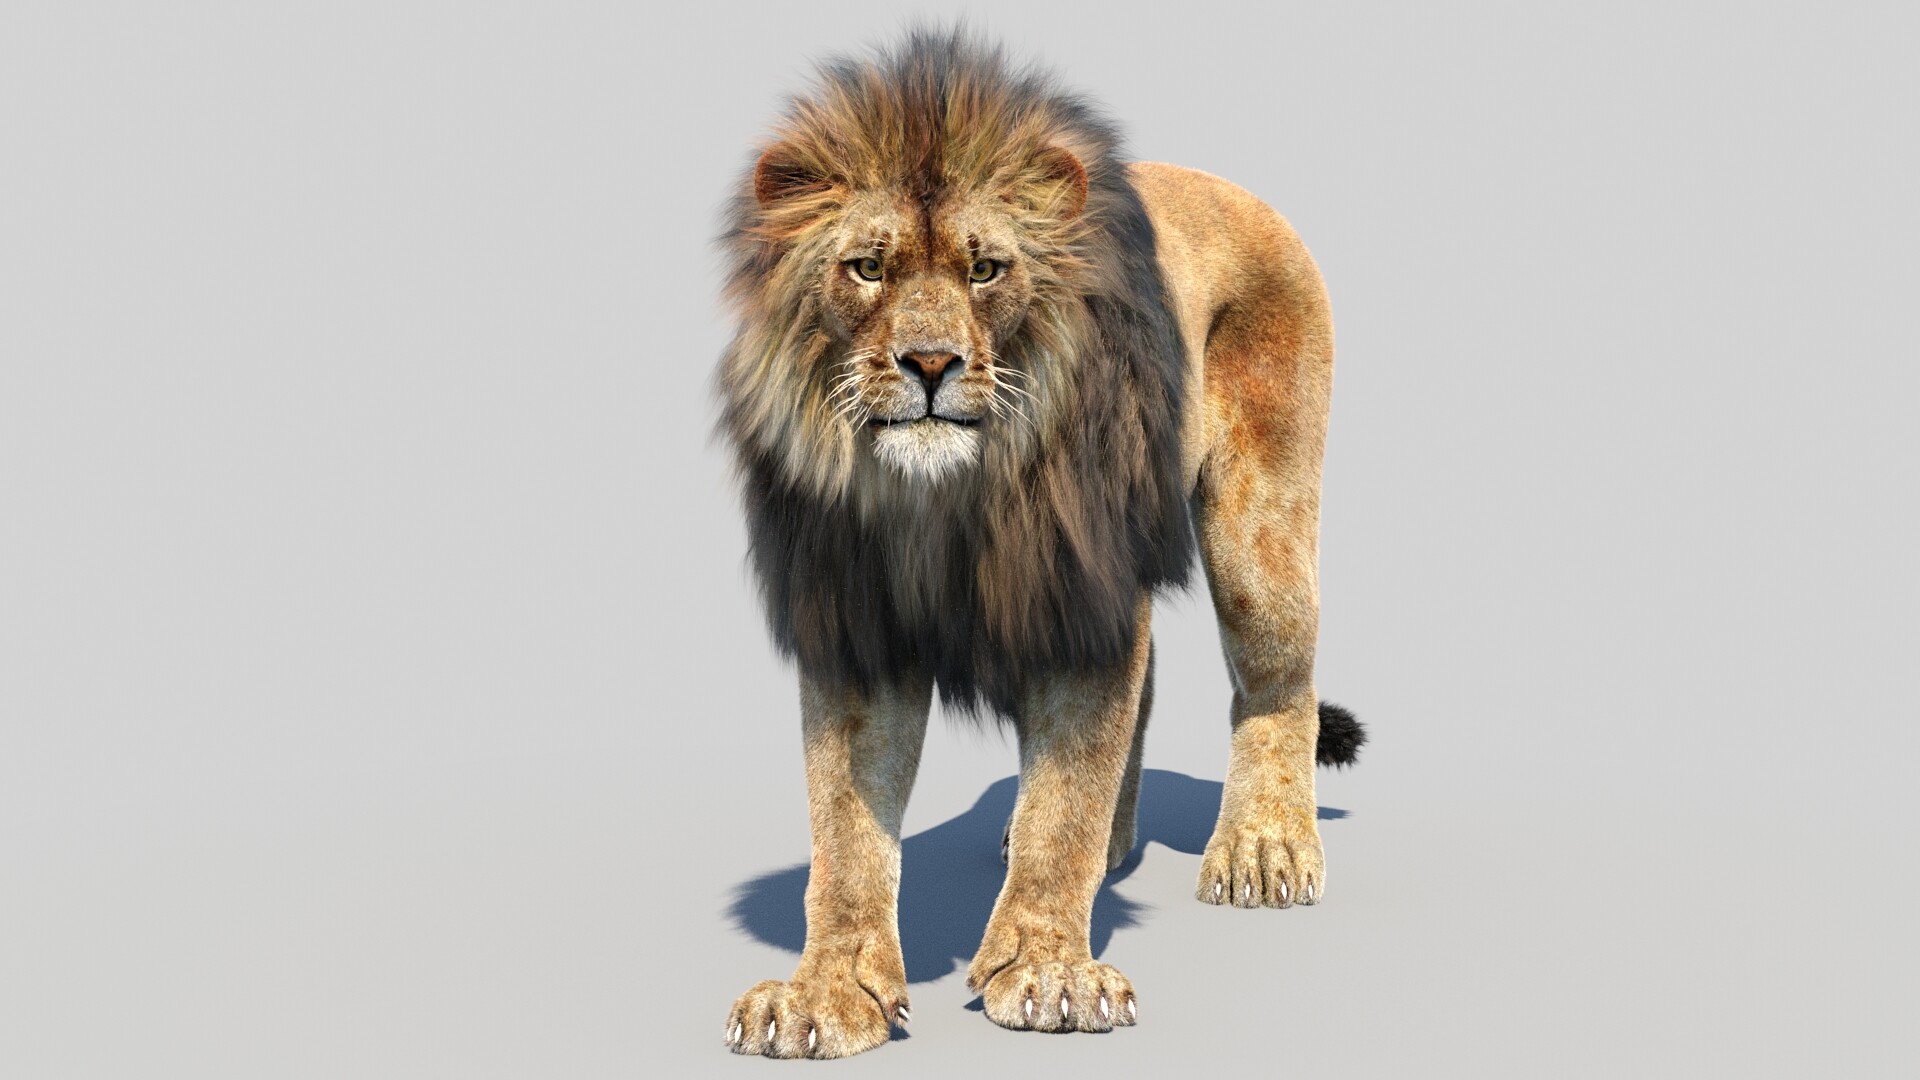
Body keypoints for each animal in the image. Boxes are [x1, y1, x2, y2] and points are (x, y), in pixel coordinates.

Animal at [714, 29, 1365, 1059]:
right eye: (867, 268)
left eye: (986, 270)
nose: (929, 363)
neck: (944, 497)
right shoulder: (857, 620)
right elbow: (845, 835)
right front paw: (825, 992)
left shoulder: (1079, 592)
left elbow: (1067, 797)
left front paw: (1050, 972)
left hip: (1257, 537)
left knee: (1276, 680)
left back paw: (1265, 848)